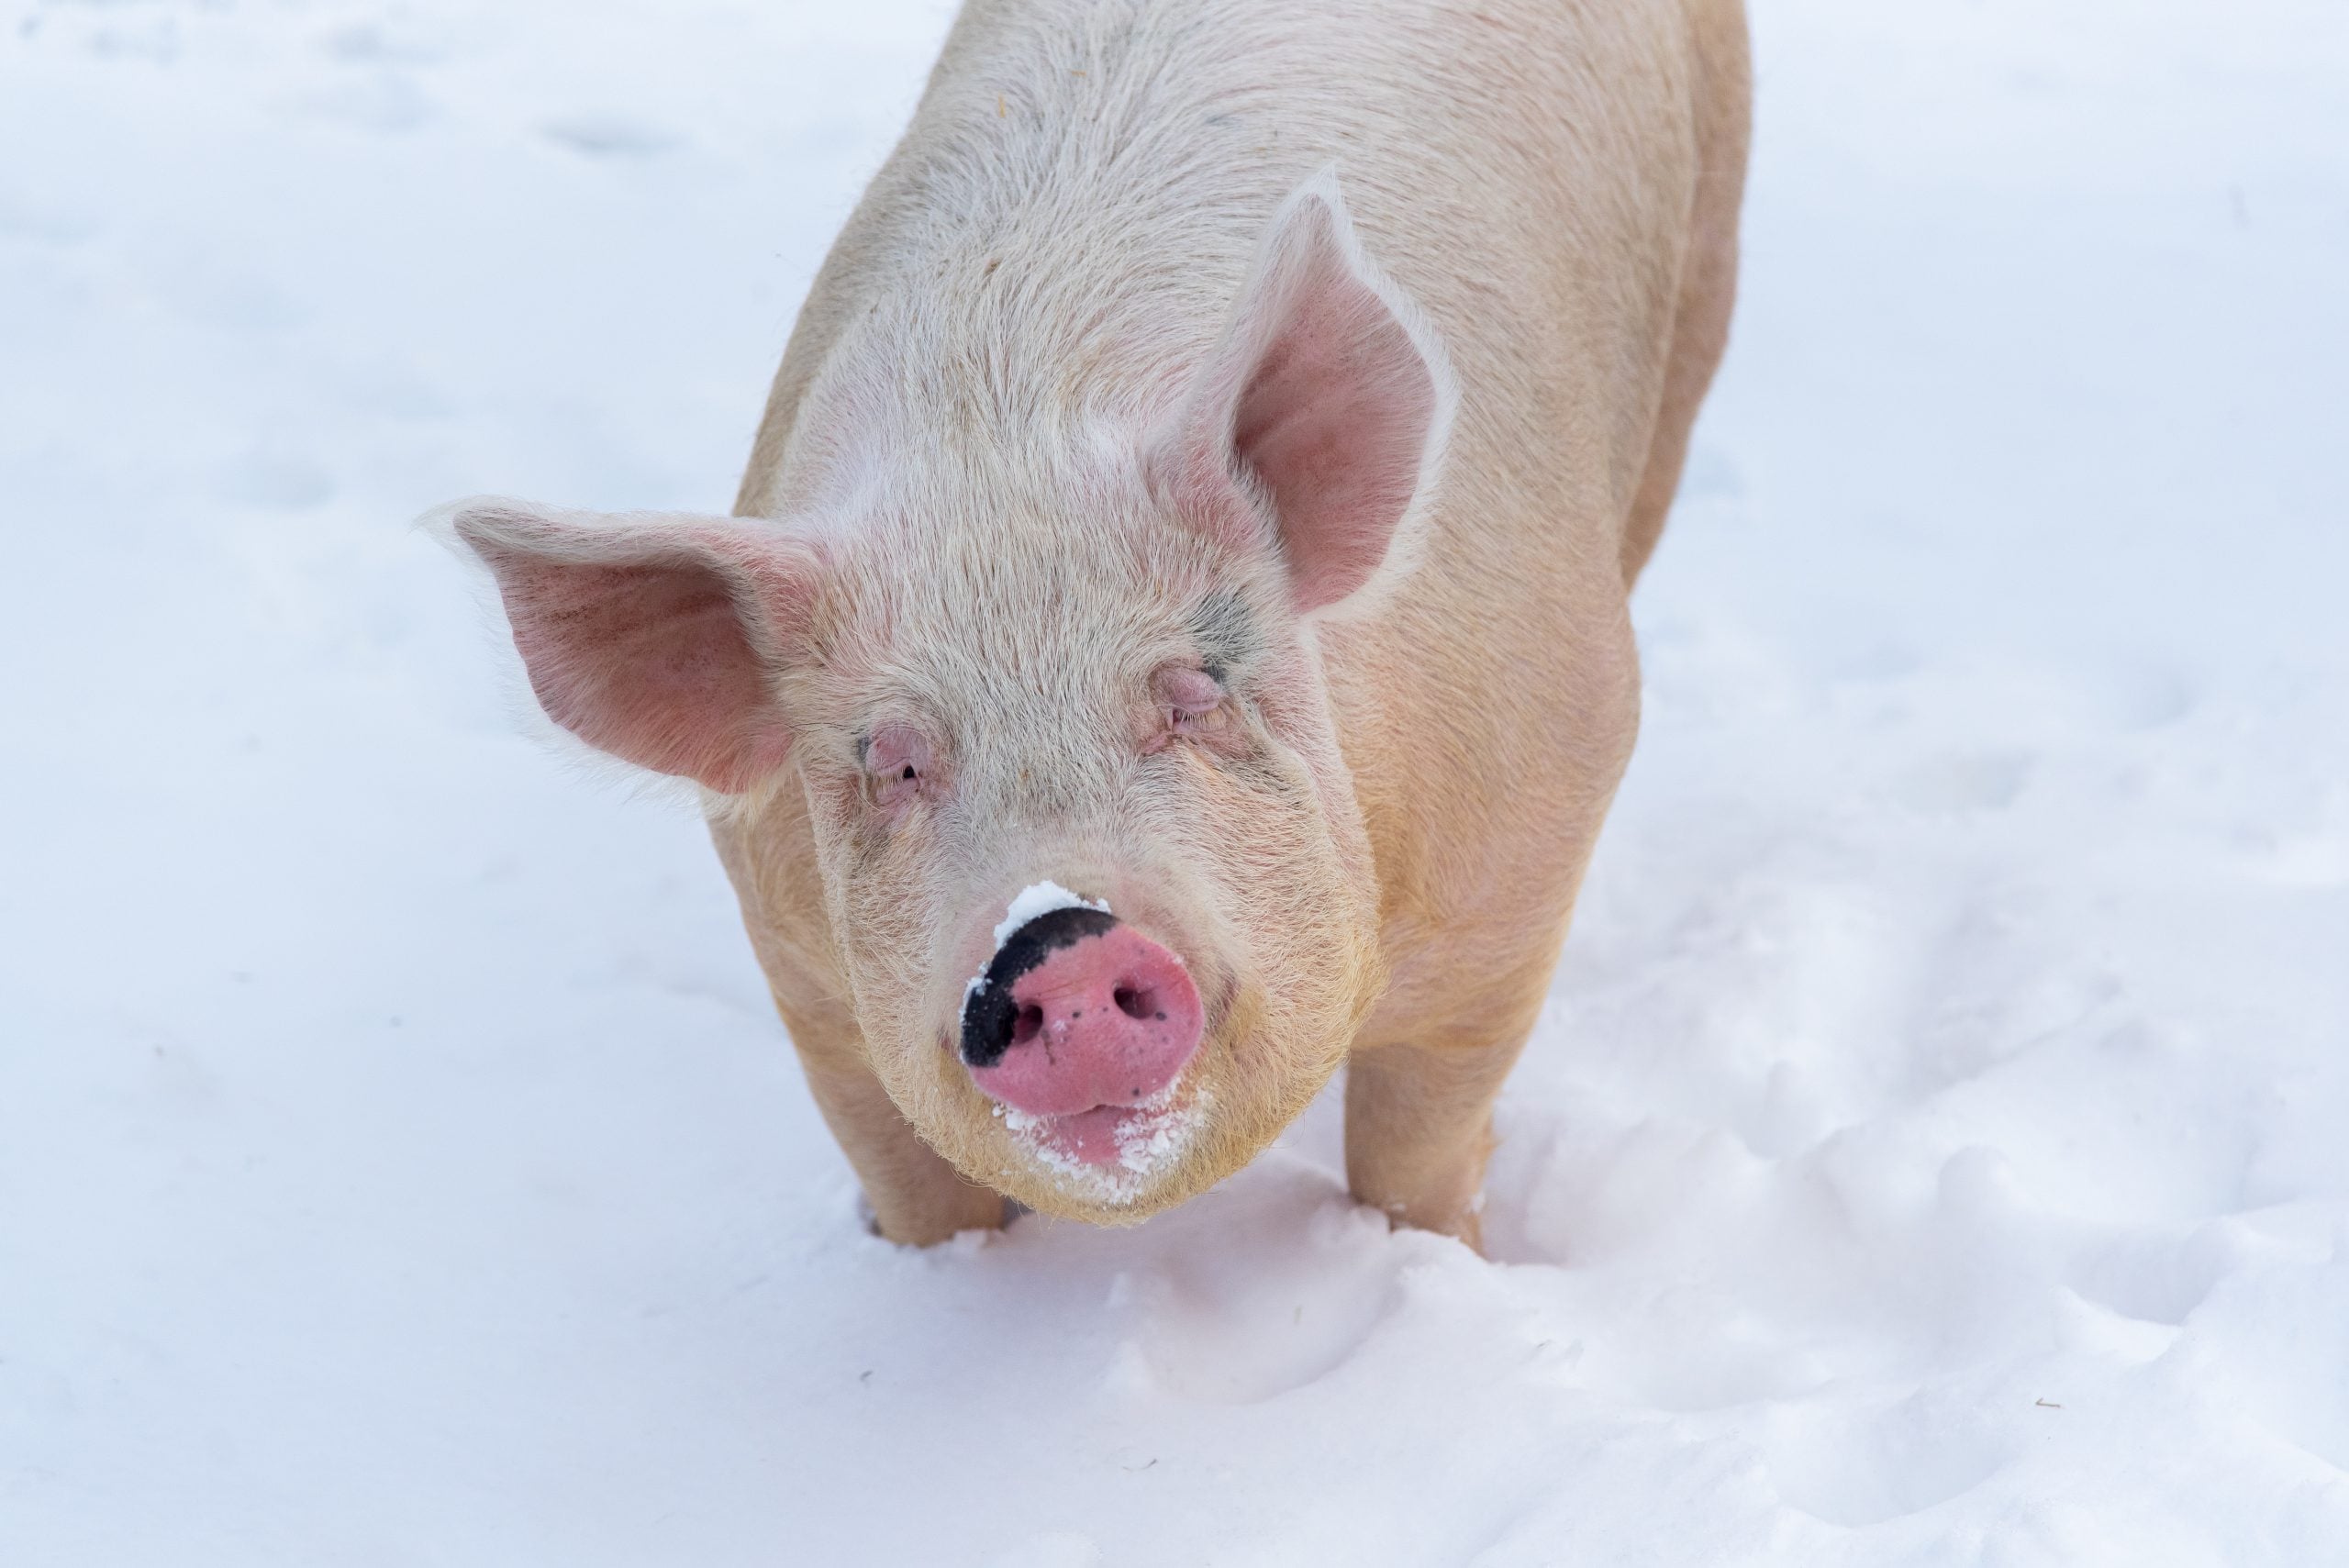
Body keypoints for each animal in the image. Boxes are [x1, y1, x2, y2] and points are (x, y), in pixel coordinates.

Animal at [440, 0, 1750, 1249]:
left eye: (1194, 691)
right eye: (892, 761)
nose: (1055, 938)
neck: (1004, 423)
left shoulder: (1524, 859)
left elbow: (1417, 1145)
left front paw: (1438, 1256)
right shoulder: (803, 976)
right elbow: (915, 1189)